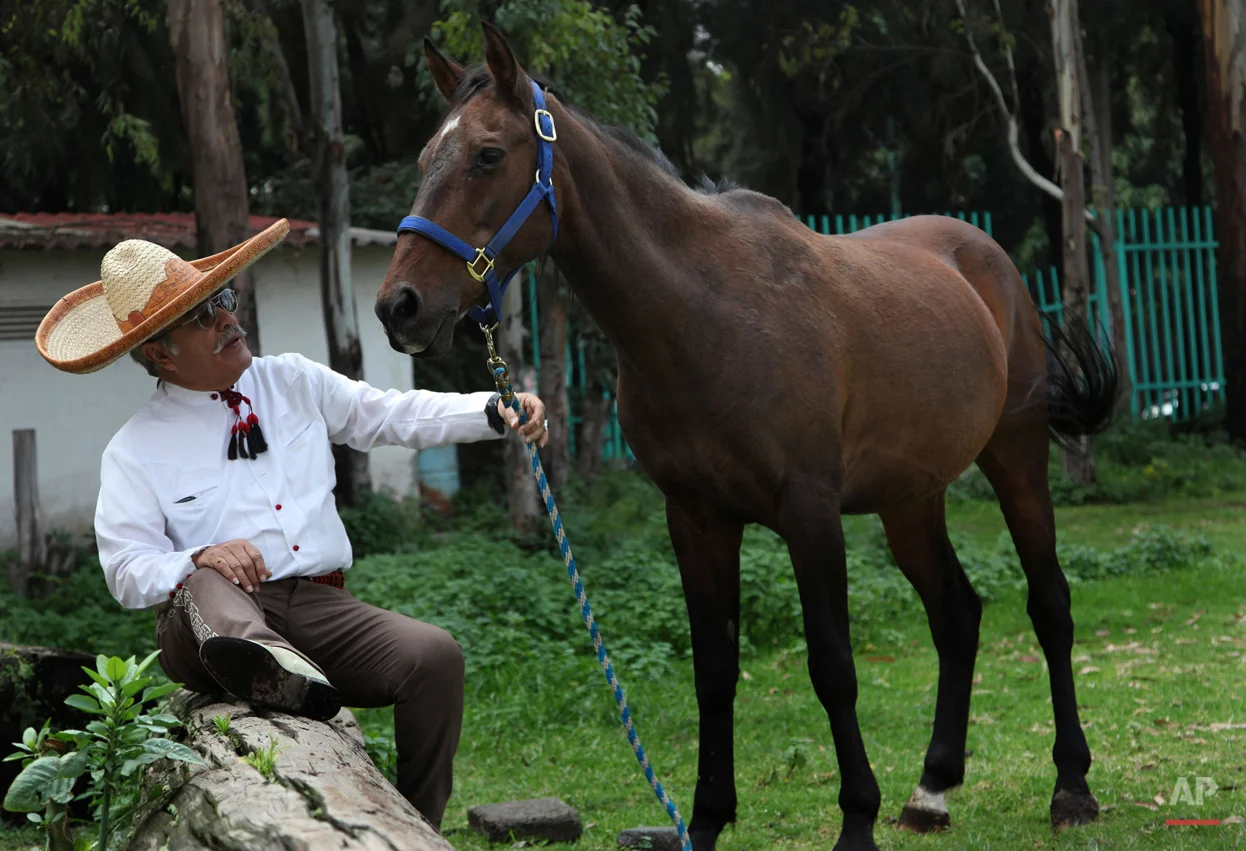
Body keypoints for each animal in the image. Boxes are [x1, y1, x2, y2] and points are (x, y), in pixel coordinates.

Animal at [375, 22, 1117, 851]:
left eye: (487, 155)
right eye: (424, 160)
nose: (400, 305)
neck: (705, 315)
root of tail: (989, 262)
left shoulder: (810, 512)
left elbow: (832, 665)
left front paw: (855, 820)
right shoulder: (696, 519)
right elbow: (714, 670)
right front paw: (705, 818)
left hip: (1016, 458)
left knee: (1049, 606)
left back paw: (1072, 786)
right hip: (910, 499)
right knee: (957, 614)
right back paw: (931, 790)